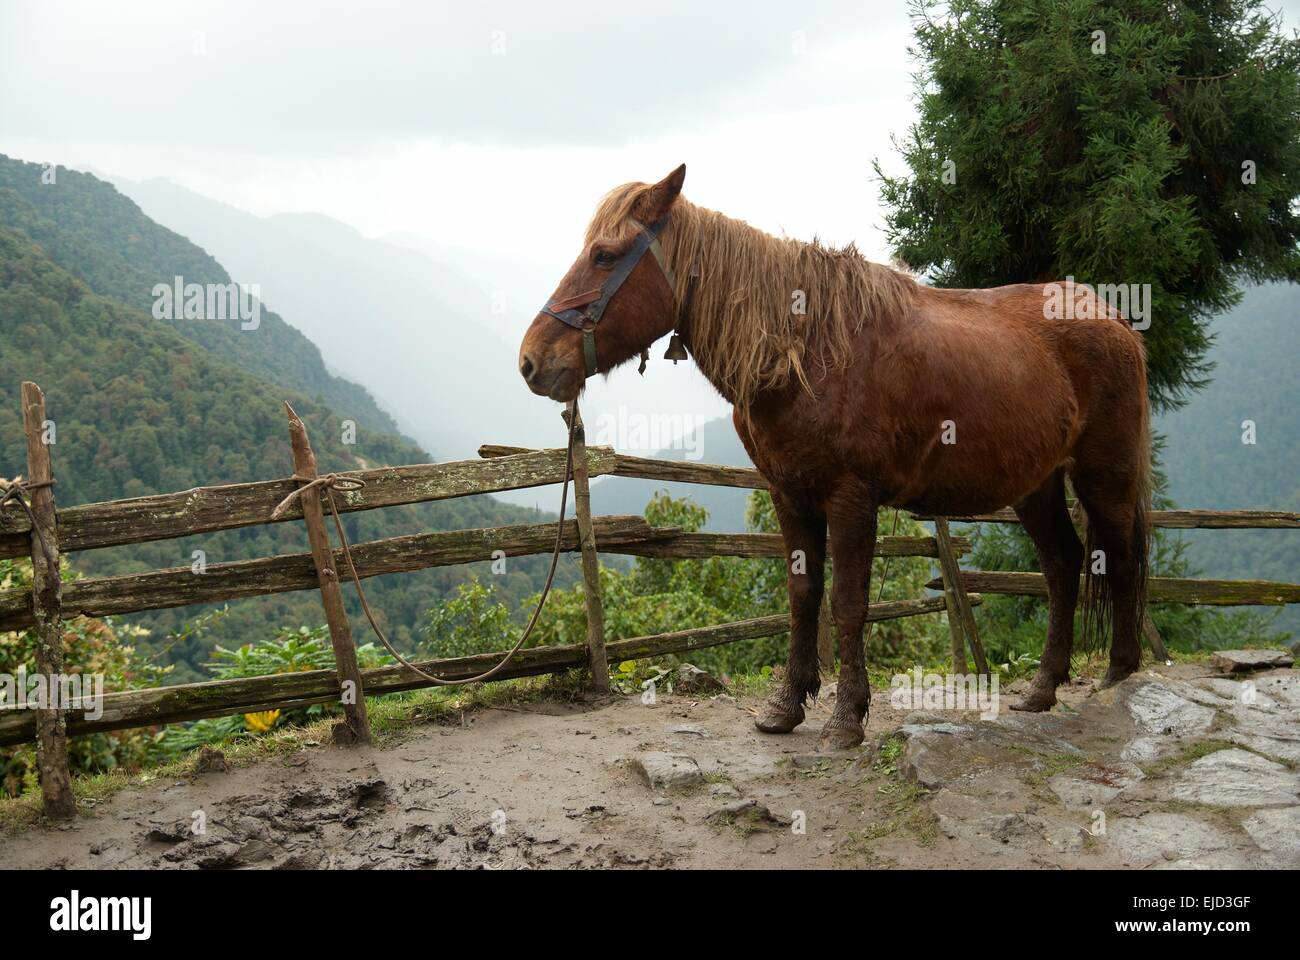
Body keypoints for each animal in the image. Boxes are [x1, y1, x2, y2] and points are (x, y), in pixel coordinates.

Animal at [518, 164, 1151, 749]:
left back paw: (1120, 673)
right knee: (1063, 566)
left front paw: (847, 718)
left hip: (1104, 476)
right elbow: (803, 597)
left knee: (1119, 559)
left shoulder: (850, 498)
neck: (802, 350)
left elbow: (848, 604)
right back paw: (1043, 688)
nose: (530, 361)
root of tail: (1111, 317)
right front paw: (787, 706)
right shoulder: (790, 495)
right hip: (1036, 486)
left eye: (604, 255)